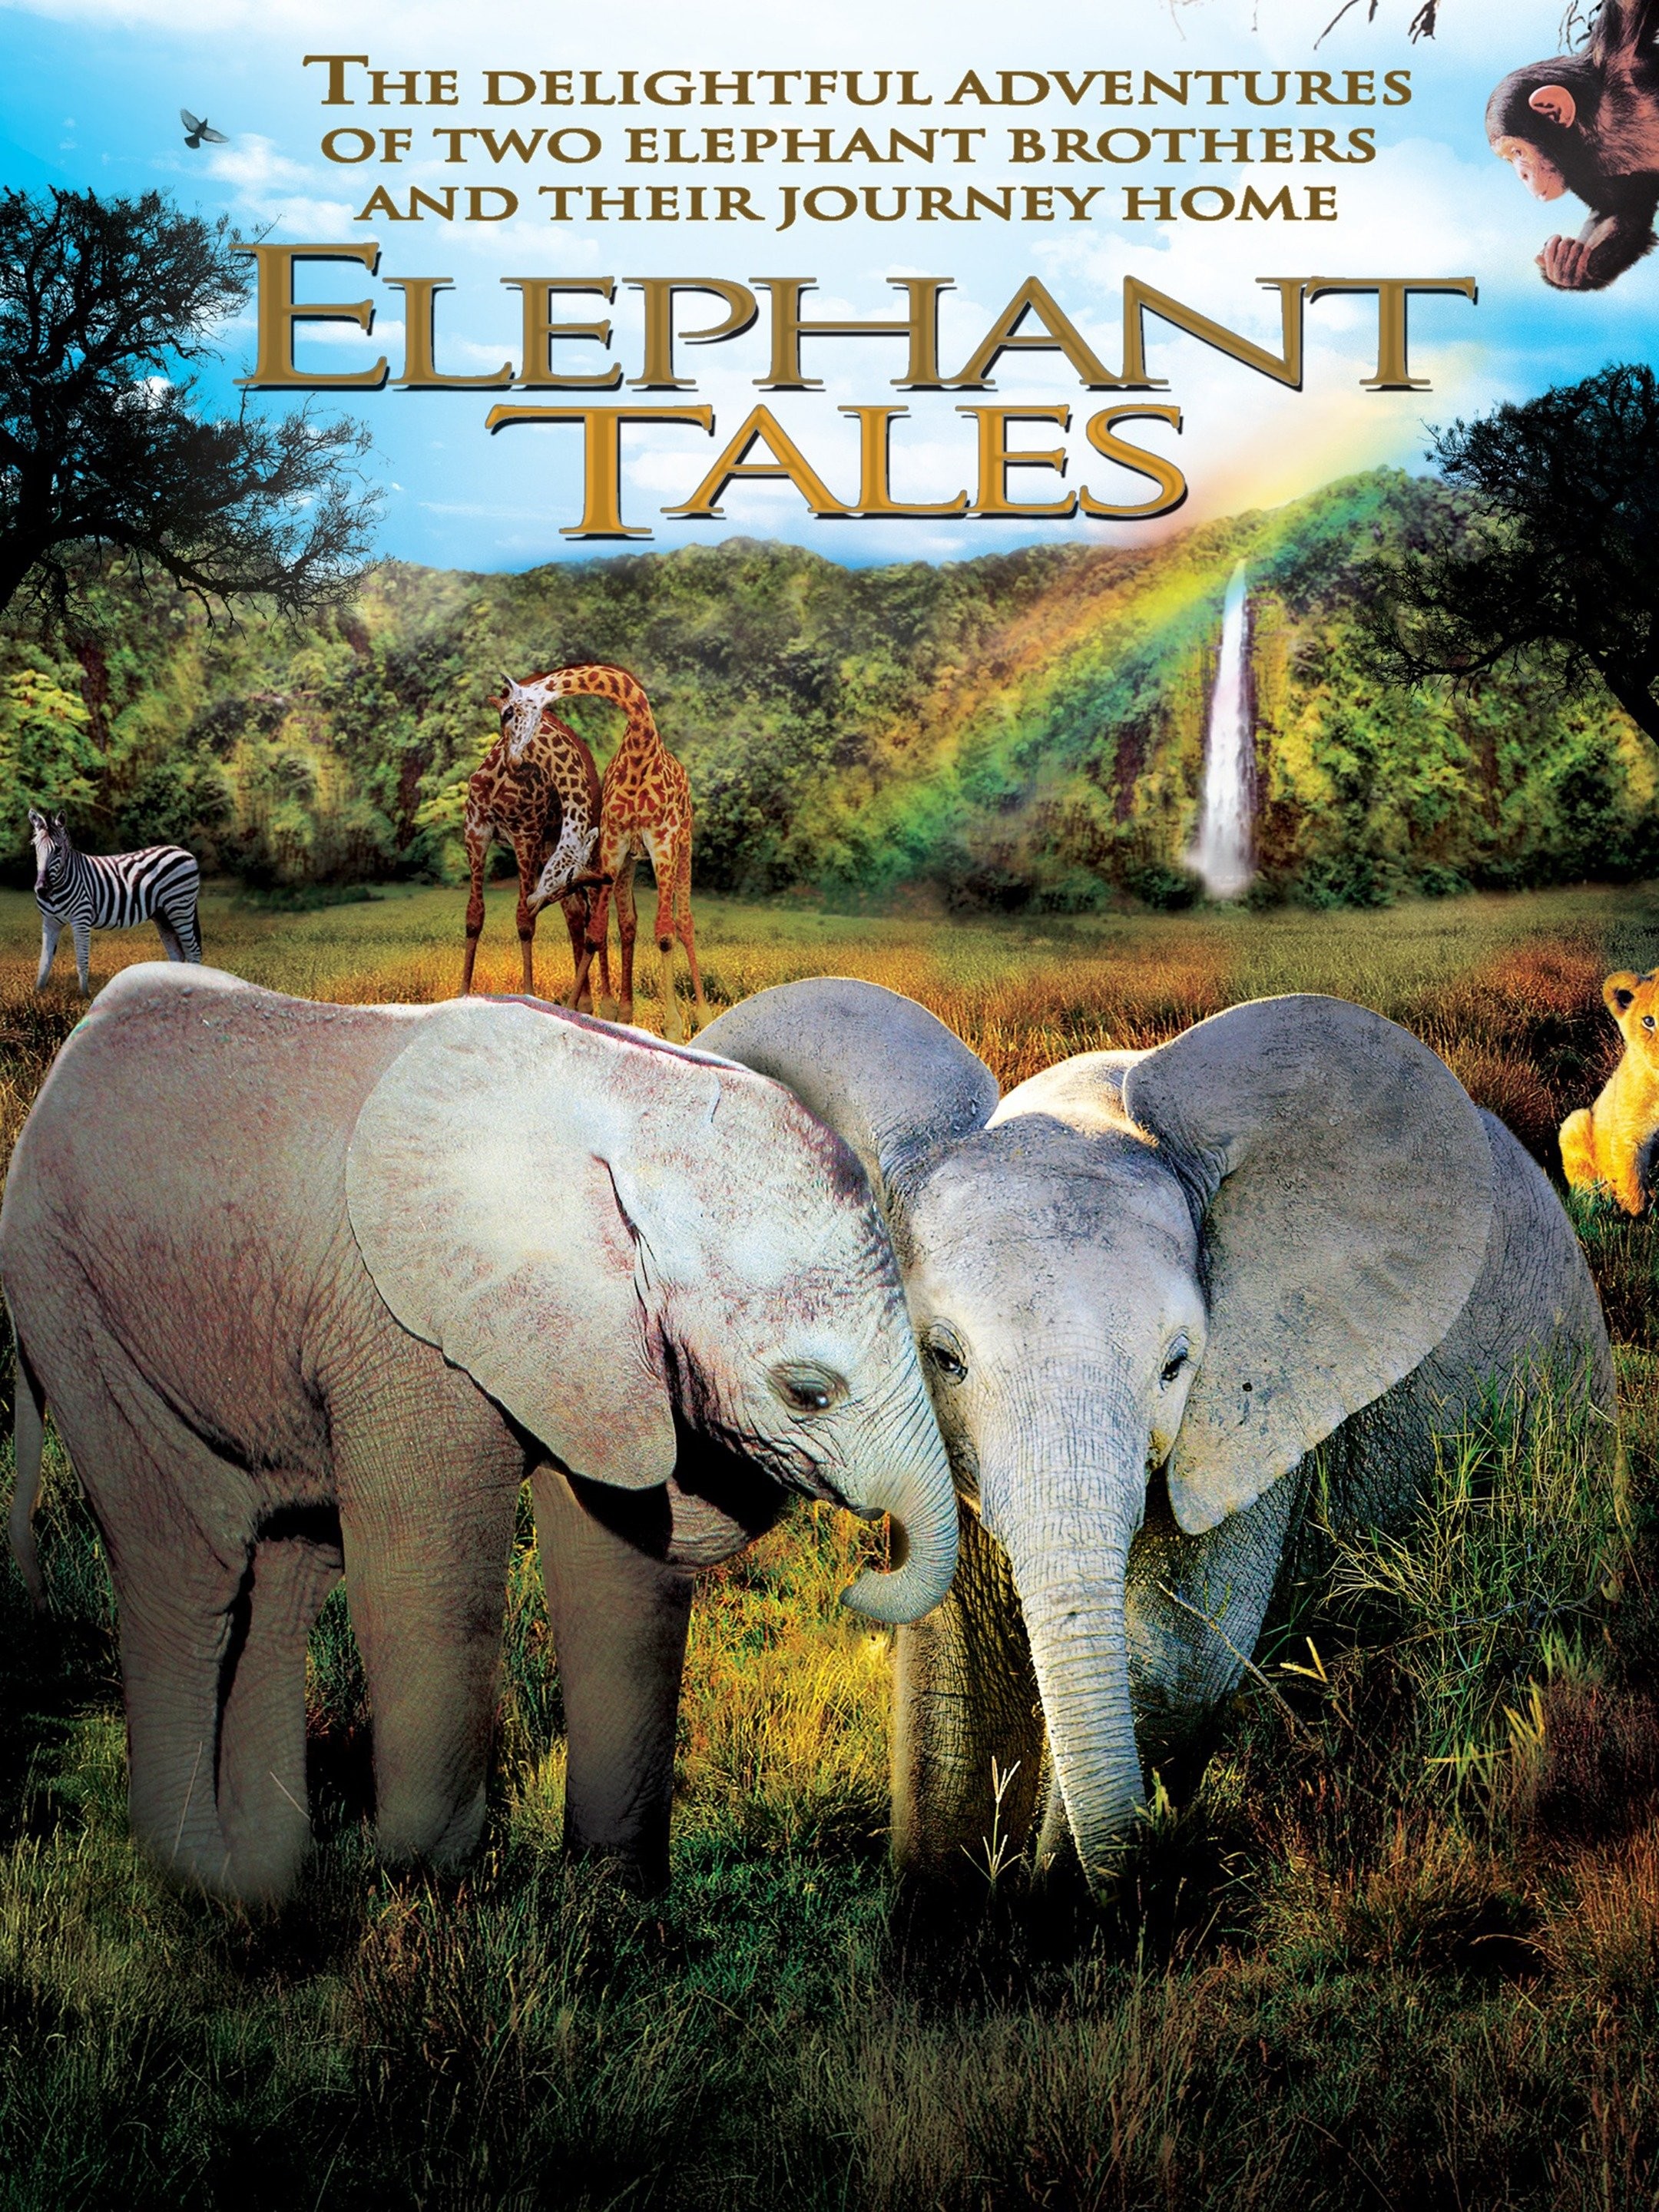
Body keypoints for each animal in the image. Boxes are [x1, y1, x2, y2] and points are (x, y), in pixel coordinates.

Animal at [1, 963, 958, 1906]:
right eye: (808, 1393)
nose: (862, 1587)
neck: (635, 1104)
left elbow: (616, 1563)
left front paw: (610, 1899)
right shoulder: (403, 1329)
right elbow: (430, 1579)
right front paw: (426, 1886)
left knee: (282, 1581)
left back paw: (272, 1882)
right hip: (69, 1300)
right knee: (190, 1567)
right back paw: (219, 1883)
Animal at [701, 980, 1614, 1893]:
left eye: (1178, 1366)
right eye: (941, 1358)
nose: (862, 1582)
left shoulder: (1256, 1410)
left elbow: (1174, 1663)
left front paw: (1064, 1900)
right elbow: (952, 1698)